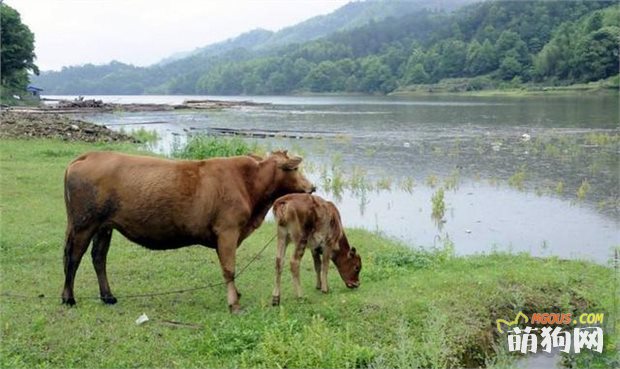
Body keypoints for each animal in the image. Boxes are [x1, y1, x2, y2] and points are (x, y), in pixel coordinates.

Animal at [61, 150, 314, 310]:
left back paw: (108, 297)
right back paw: (69, 298)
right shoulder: (228, 231)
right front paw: (234, 303)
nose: (312, 186)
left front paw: (236, 295)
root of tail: (88, 155)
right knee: (73, 258)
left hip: (104, 226)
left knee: (98, 257)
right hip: (84, 224)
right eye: (295, 169)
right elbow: (229, 269)